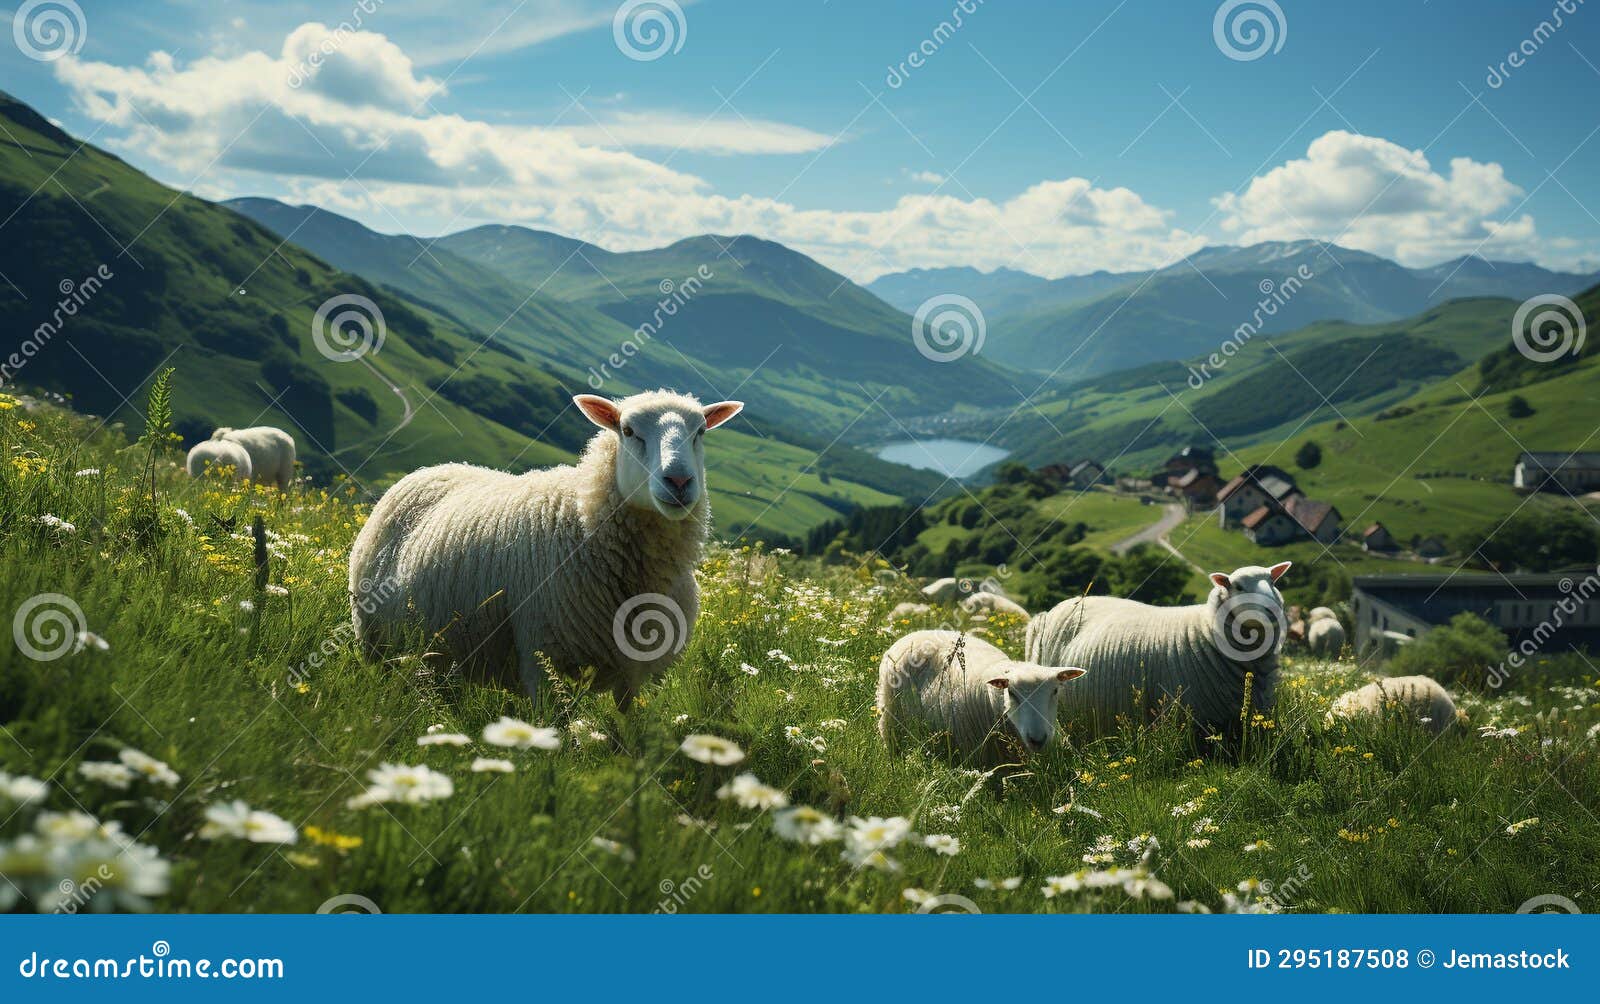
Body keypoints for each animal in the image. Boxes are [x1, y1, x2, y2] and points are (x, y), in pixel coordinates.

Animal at [347, 391, 743, 709]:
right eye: (629, 431)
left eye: (701, 431)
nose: (679, 481)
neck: (581, 519)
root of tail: (432, 468)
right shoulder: (543, 656)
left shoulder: (634, 674)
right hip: (376, 642)